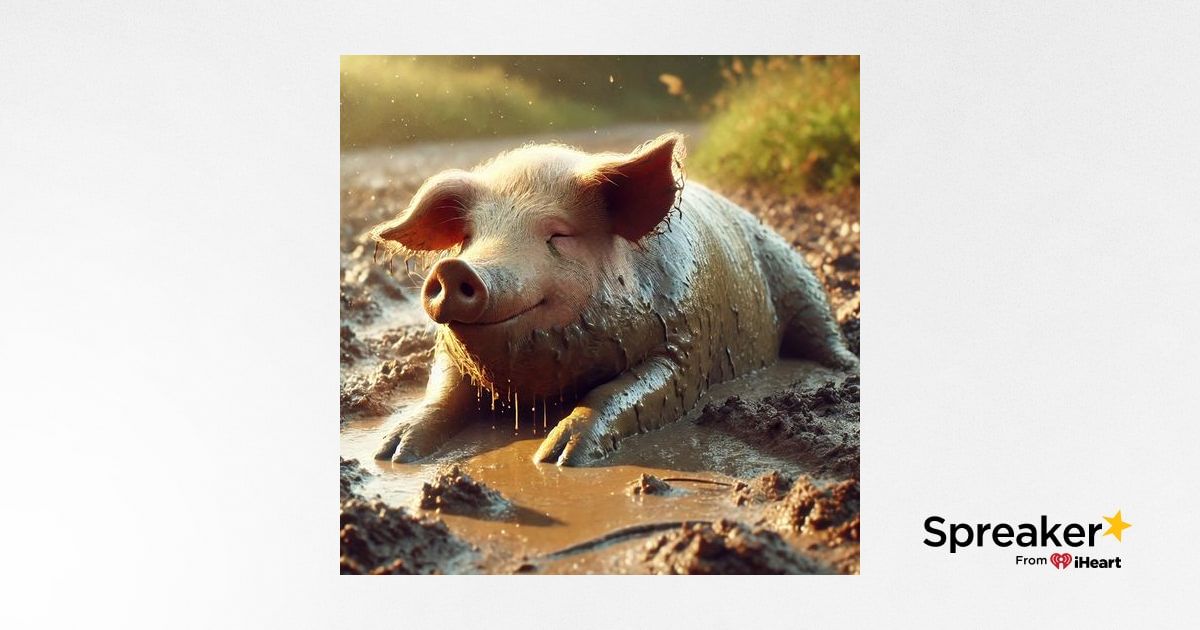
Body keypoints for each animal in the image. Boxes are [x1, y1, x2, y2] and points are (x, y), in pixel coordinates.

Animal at [370, 132, 857, 466]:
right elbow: (442, 391)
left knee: (821, 332)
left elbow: (615, 393)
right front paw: (389, 453)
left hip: (798, 278)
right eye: (470, 237)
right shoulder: (448, 348)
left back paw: (846, 368)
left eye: (558, 235)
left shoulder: (687, 346)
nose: (455, 269)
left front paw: (555, 459)